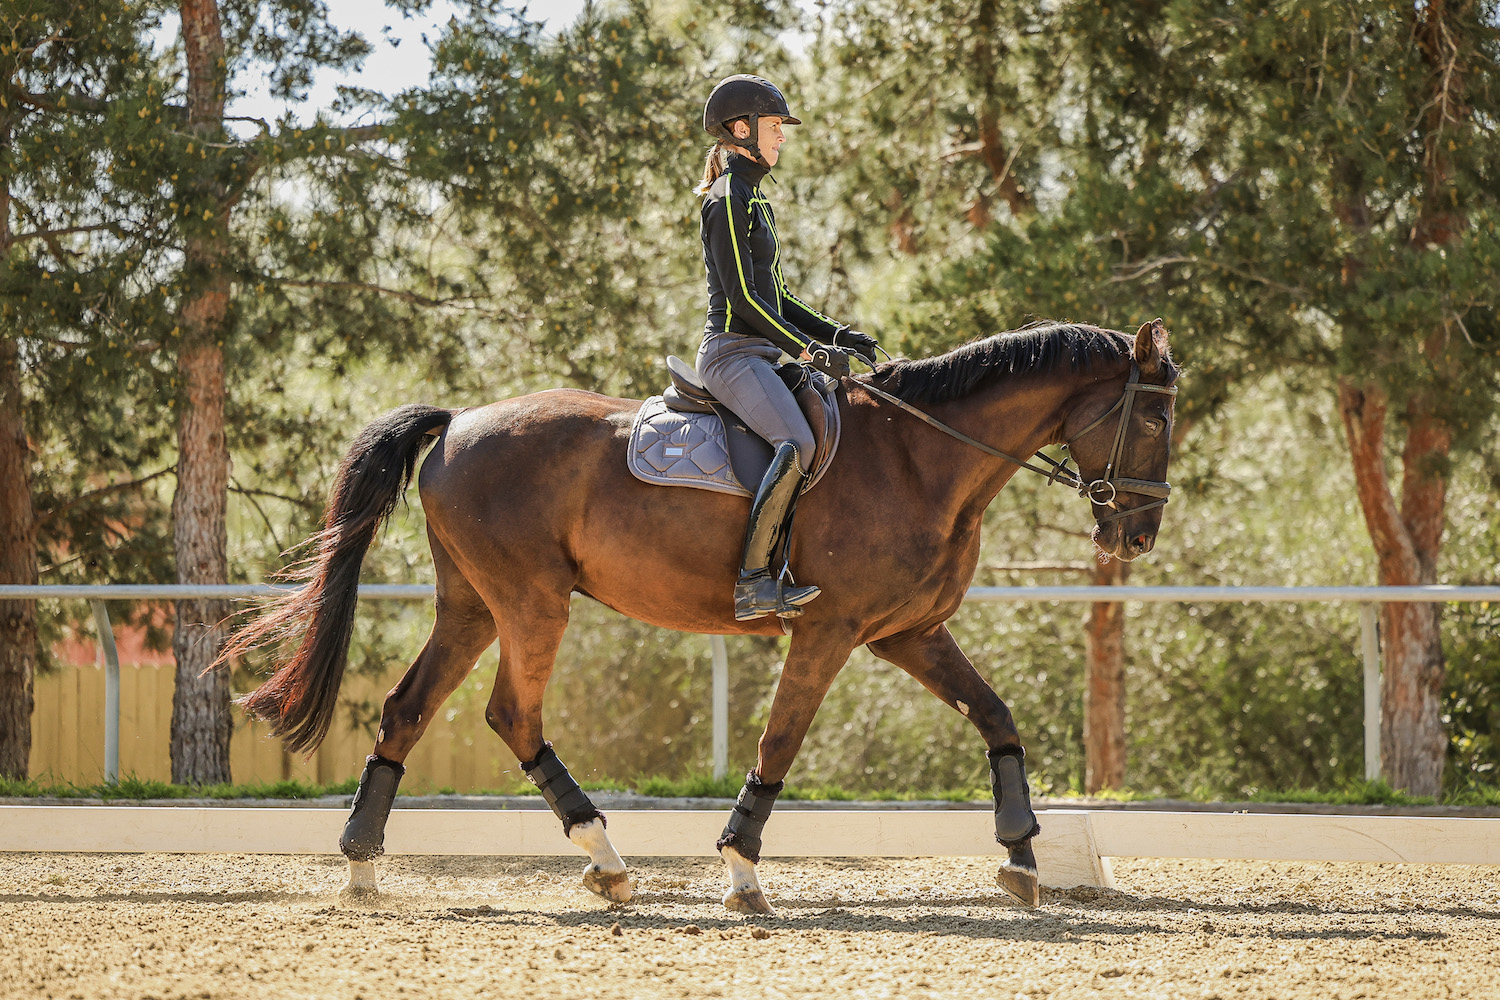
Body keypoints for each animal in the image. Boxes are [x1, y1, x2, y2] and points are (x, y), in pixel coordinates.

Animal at [229, 318, 1178, 914]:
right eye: (1156, 414)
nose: (1137, 535)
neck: (921, 457)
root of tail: (460, 421)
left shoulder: (908, 633)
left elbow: (995, 716)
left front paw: (1021, 855)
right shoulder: (830, 632)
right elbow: (780, 742)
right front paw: (741, 871)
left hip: (471, 605)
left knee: (407, 709)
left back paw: (362, 868)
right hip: (529, 602)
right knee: (511, 714)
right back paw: (605, 858)